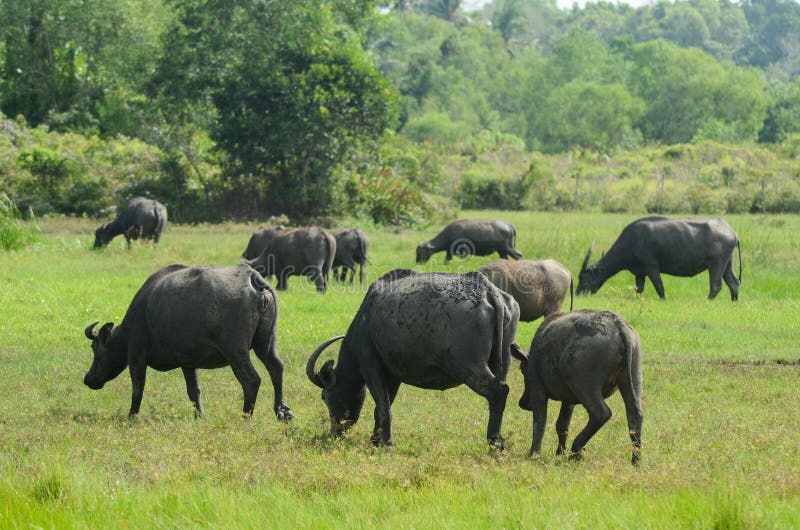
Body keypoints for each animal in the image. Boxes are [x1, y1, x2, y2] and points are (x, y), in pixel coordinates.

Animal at [83, 264, 293, 421]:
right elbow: (194, 391)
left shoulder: (136, 356)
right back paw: (282, 411)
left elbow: (138, 388)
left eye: (95, 349)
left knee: (251, 380)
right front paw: (200, 415)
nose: (87, 379)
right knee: (276, 367)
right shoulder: (188, 362)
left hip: (235, 350)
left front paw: (132, 415)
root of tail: (253, 279)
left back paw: (245, 417)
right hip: (266, 342)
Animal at [306, 269, 520, 449]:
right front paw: (376, 440)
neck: (364, 321)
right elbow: (382, 407)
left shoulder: (371, 368)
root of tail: (489, 291)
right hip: (502, 362)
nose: (335, 432)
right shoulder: (393, 376)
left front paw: (386, 443)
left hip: (468, 367)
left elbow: (383, 407)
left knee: (498, 392)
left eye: (325, 396)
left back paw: (494, 443)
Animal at [511, 310, 643, 464]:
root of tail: (618, 325)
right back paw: (636, 460)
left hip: (585, 387)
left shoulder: (538, 391)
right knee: (635, 416)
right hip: (632, 379)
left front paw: (534, 455)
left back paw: (576, 451)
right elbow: (562, 425)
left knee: (601, 414)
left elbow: (539, 424)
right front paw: (559, 453)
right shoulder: (568, 401)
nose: (523, 403)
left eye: (522, 369)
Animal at [576, 216, 741, 300]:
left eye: (584, 277)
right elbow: (639, 289)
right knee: (734, 283)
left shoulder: (652, 268)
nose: (577, 293)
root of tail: (732, 232)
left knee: (716, 286)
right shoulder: (640, 273)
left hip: (716, 265)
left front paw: (664, 300)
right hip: (727, 265)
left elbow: (659, 286)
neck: (632, 241)